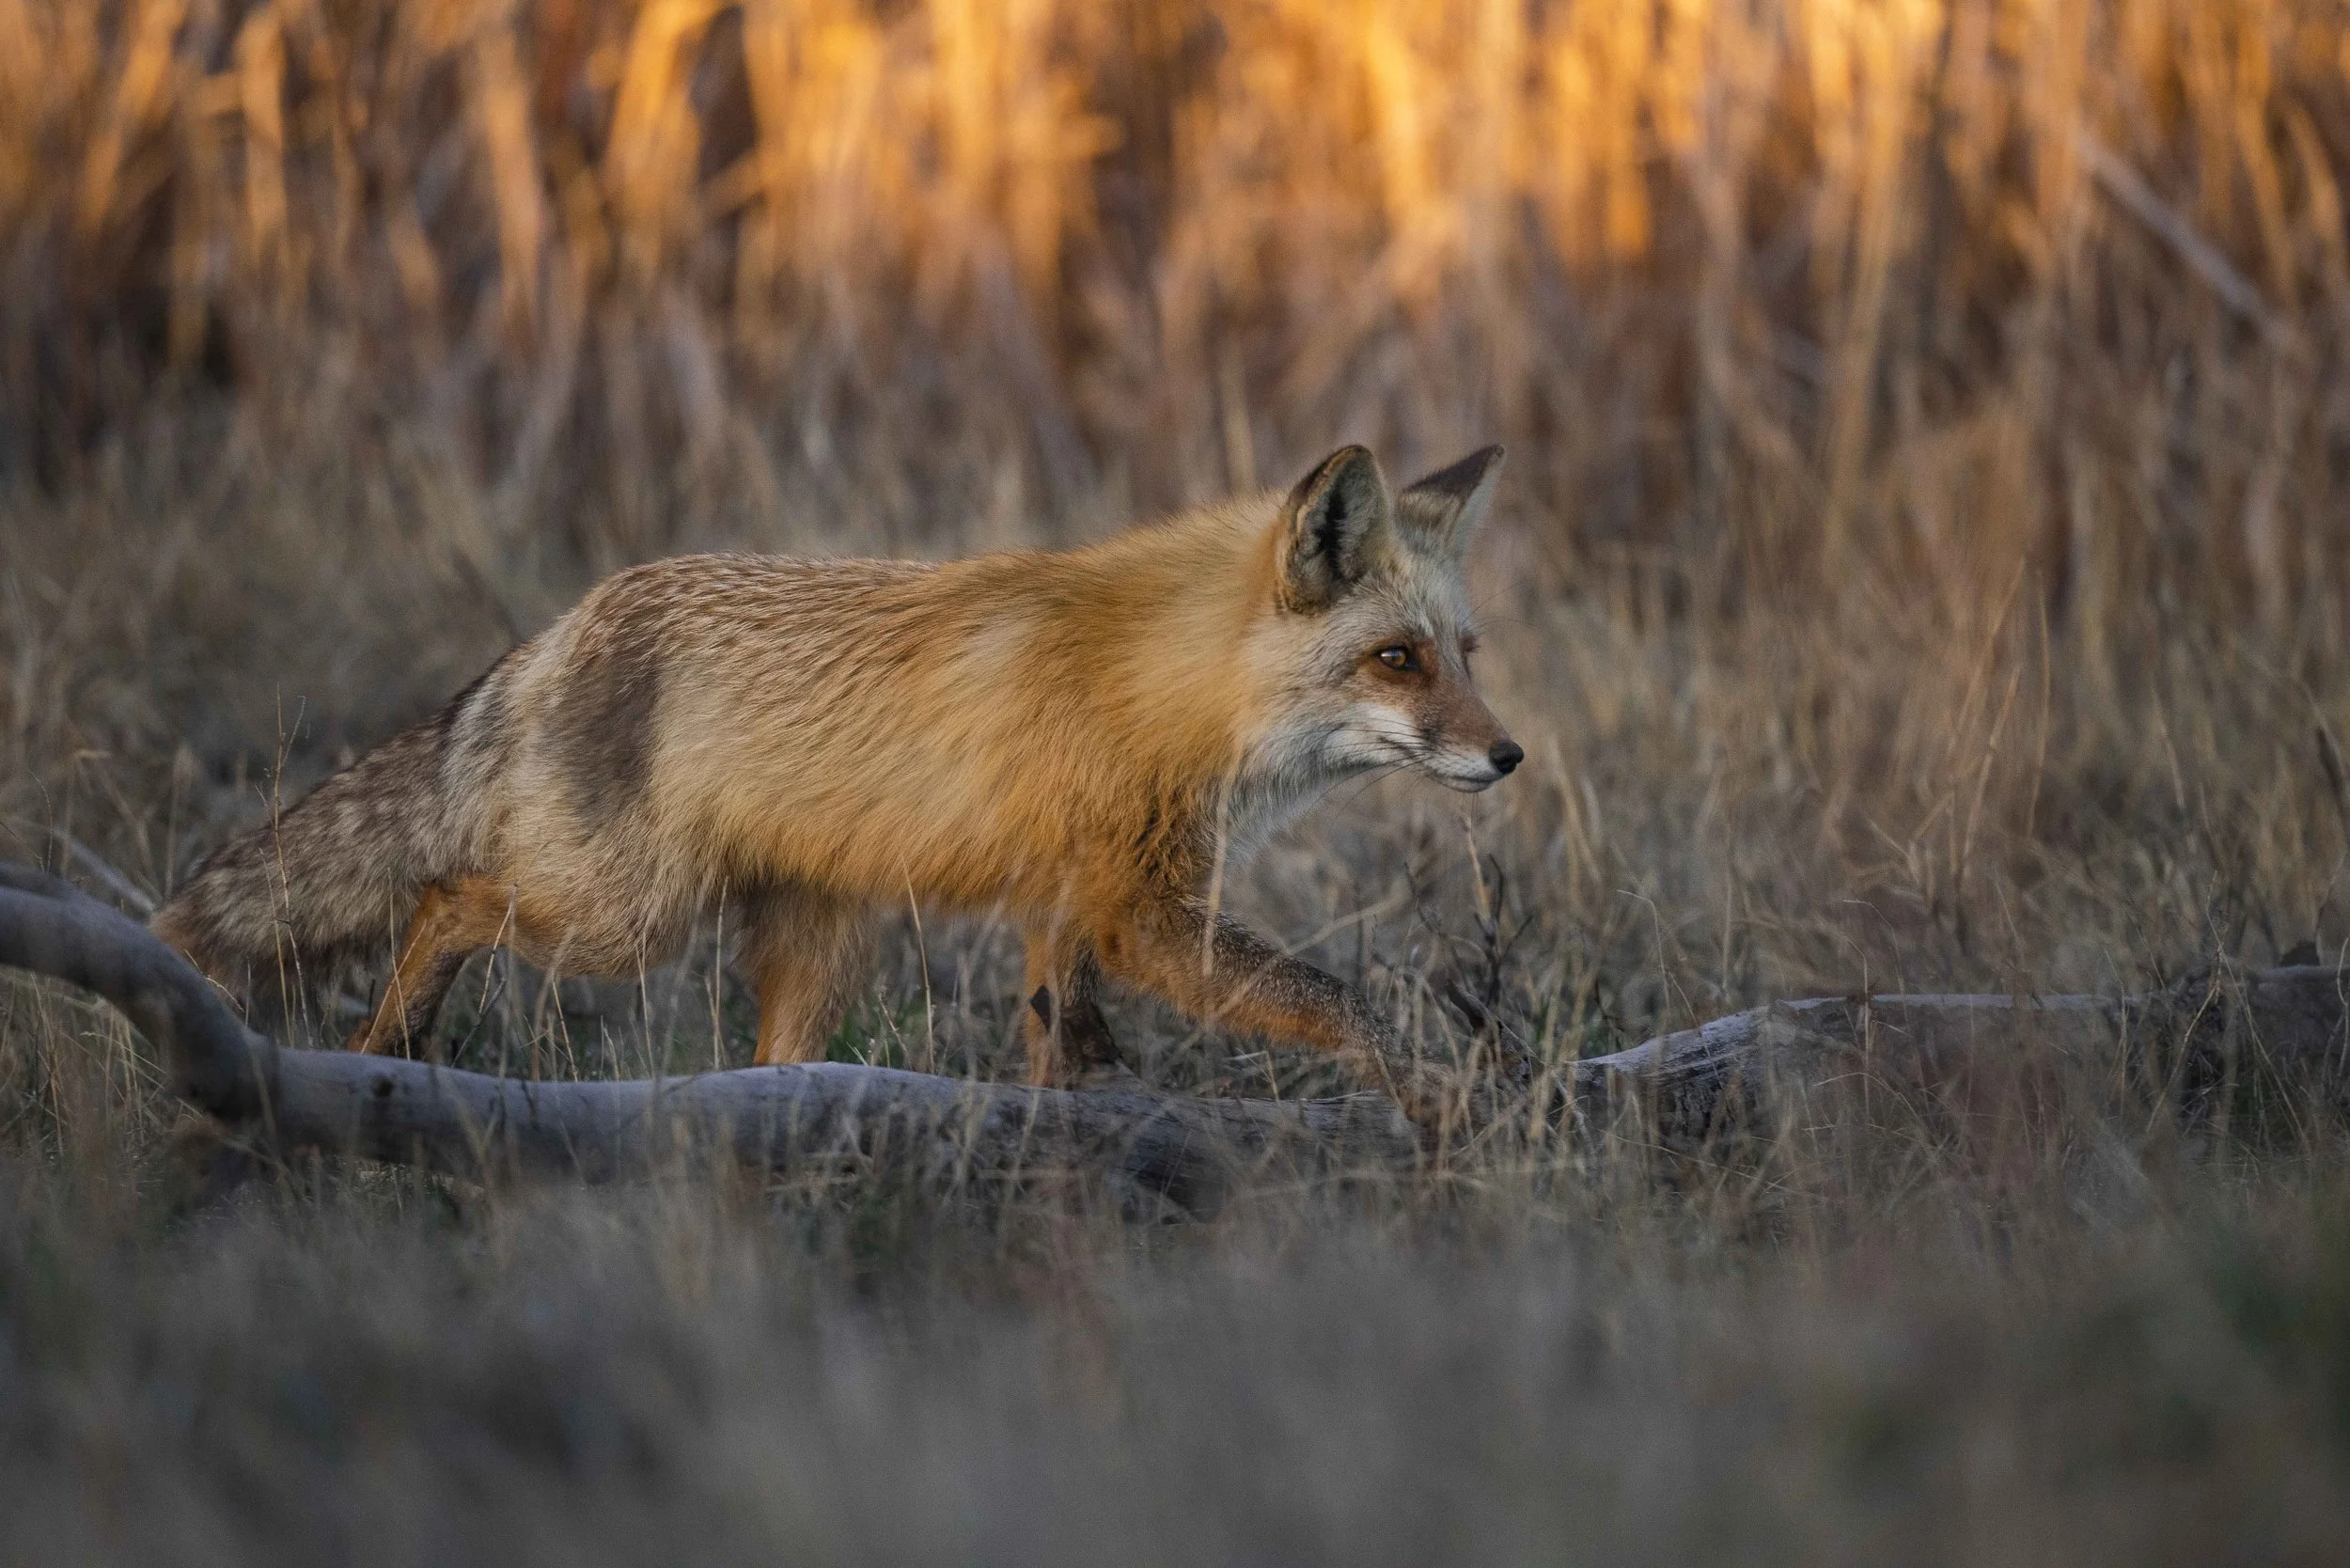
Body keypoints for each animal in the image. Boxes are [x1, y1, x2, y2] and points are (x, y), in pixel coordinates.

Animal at [151, 443, 1522, 1122]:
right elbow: (1342, 1001)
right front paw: (1437, 1095)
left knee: (770, 1070)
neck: (1160, 680)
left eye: (1465, 652)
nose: (1506, 756)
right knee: (445, 898)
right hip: (621, 921)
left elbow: (1058, 1044)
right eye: (1395, 661)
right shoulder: (1140, 912)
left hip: (816, 948)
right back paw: (387, 1047)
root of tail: (557, 631)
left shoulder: (1065, 904)